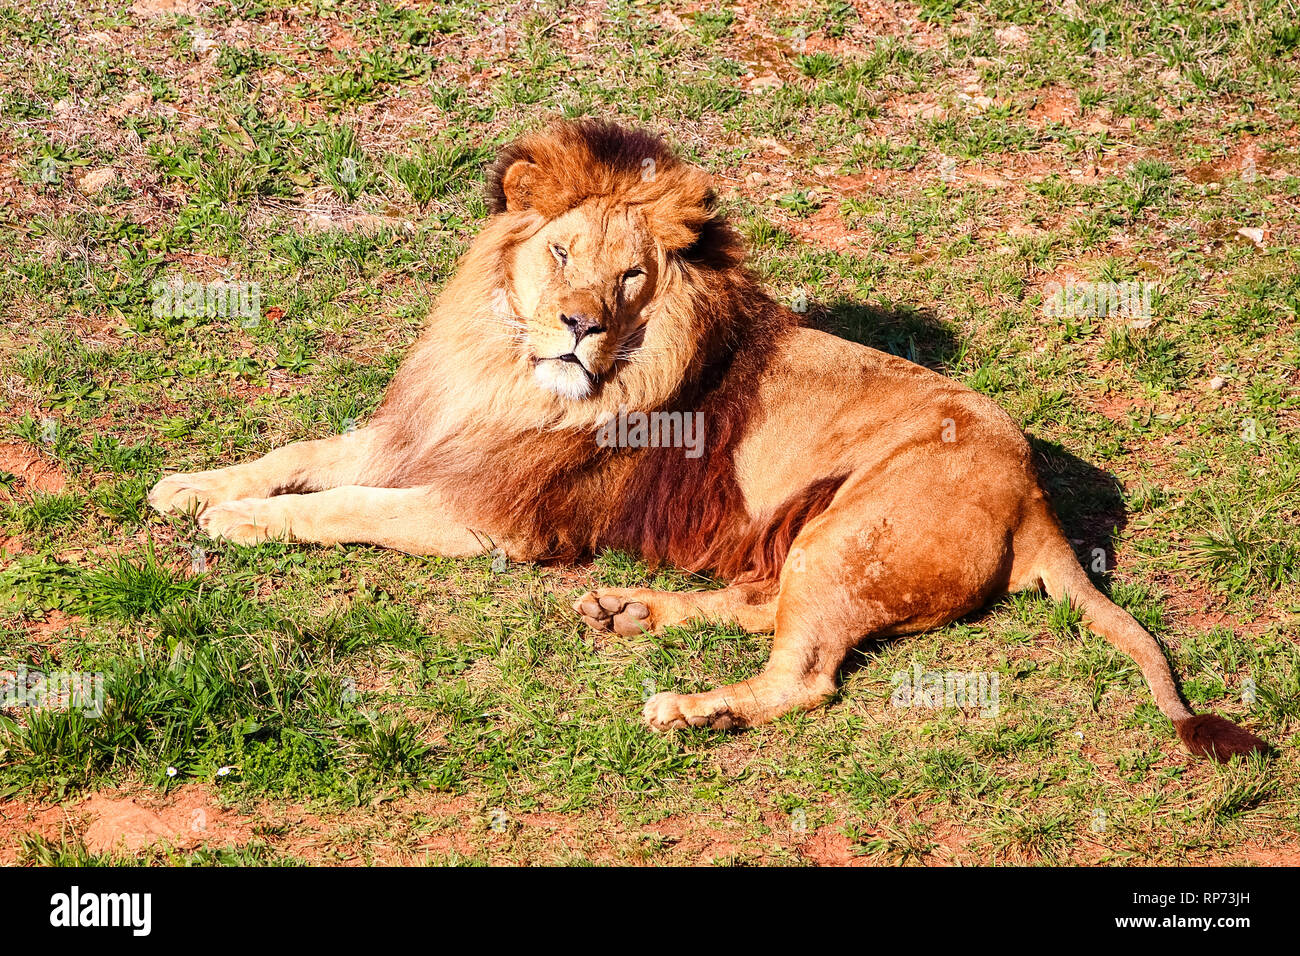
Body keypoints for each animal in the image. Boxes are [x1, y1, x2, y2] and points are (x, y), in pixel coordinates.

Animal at [149, 118, 1266, 761]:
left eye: (631, 278)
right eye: (561, 253)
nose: (578, 324)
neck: (511, 372)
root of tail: (1038, 501)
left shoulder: (497, 516)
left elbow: (345, 504)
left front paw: (236, 522)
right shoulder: (432, 436)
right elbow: (304, 456)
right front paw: (189, 485)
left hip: (852, 526)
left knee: (805, 674)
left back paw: (695, 709)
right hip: (811, 535)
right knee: (764, 605)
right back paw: (626, 609)